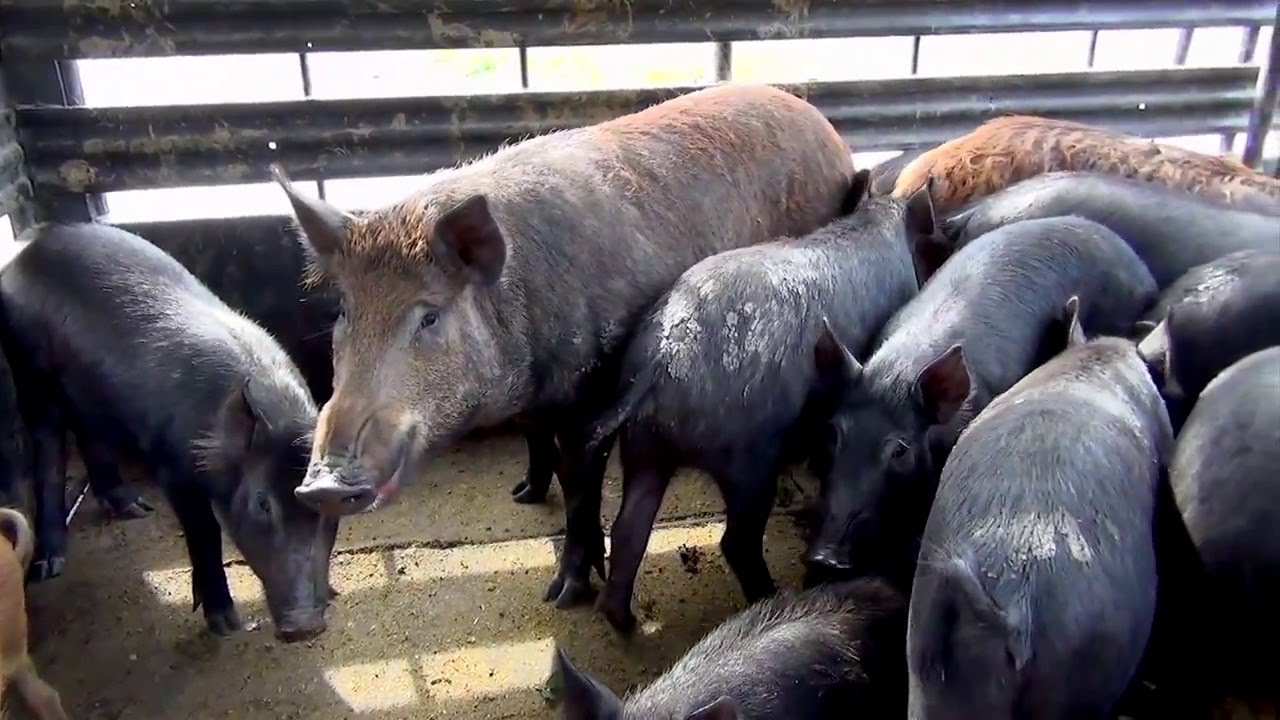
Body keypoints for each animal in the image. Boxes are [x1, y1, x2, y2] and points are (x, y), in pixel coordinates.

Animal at [0, 222, 337, 640]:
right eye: (262, 502)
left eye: (323, 502)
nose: (304, 625)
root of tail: (27, 249)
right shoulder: (173, 469)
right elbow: (204, 533)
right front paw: (226, 625)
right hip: (28, 368)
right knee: (47, 447)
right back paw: (49, 566)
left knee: (90, 435)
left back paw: (135, 508)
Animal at [272, 83, 857, 611]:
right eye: (345, 312)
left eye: (430, 316)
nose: (324, 486)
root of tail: (825, 127)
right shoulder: (535, 405)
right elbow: (538, 444)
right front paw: (524, 494)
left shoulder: (589, 402)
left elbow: (580, 492)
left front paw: (563, 597)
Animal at [586, 172, 936, 631]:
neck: (879, 224)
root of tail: (662, 359)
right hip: (749, 460)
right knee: (736, 541)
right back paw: (770, 596)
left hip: (644, 446)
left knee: (628, 530)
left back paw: (629, 624)